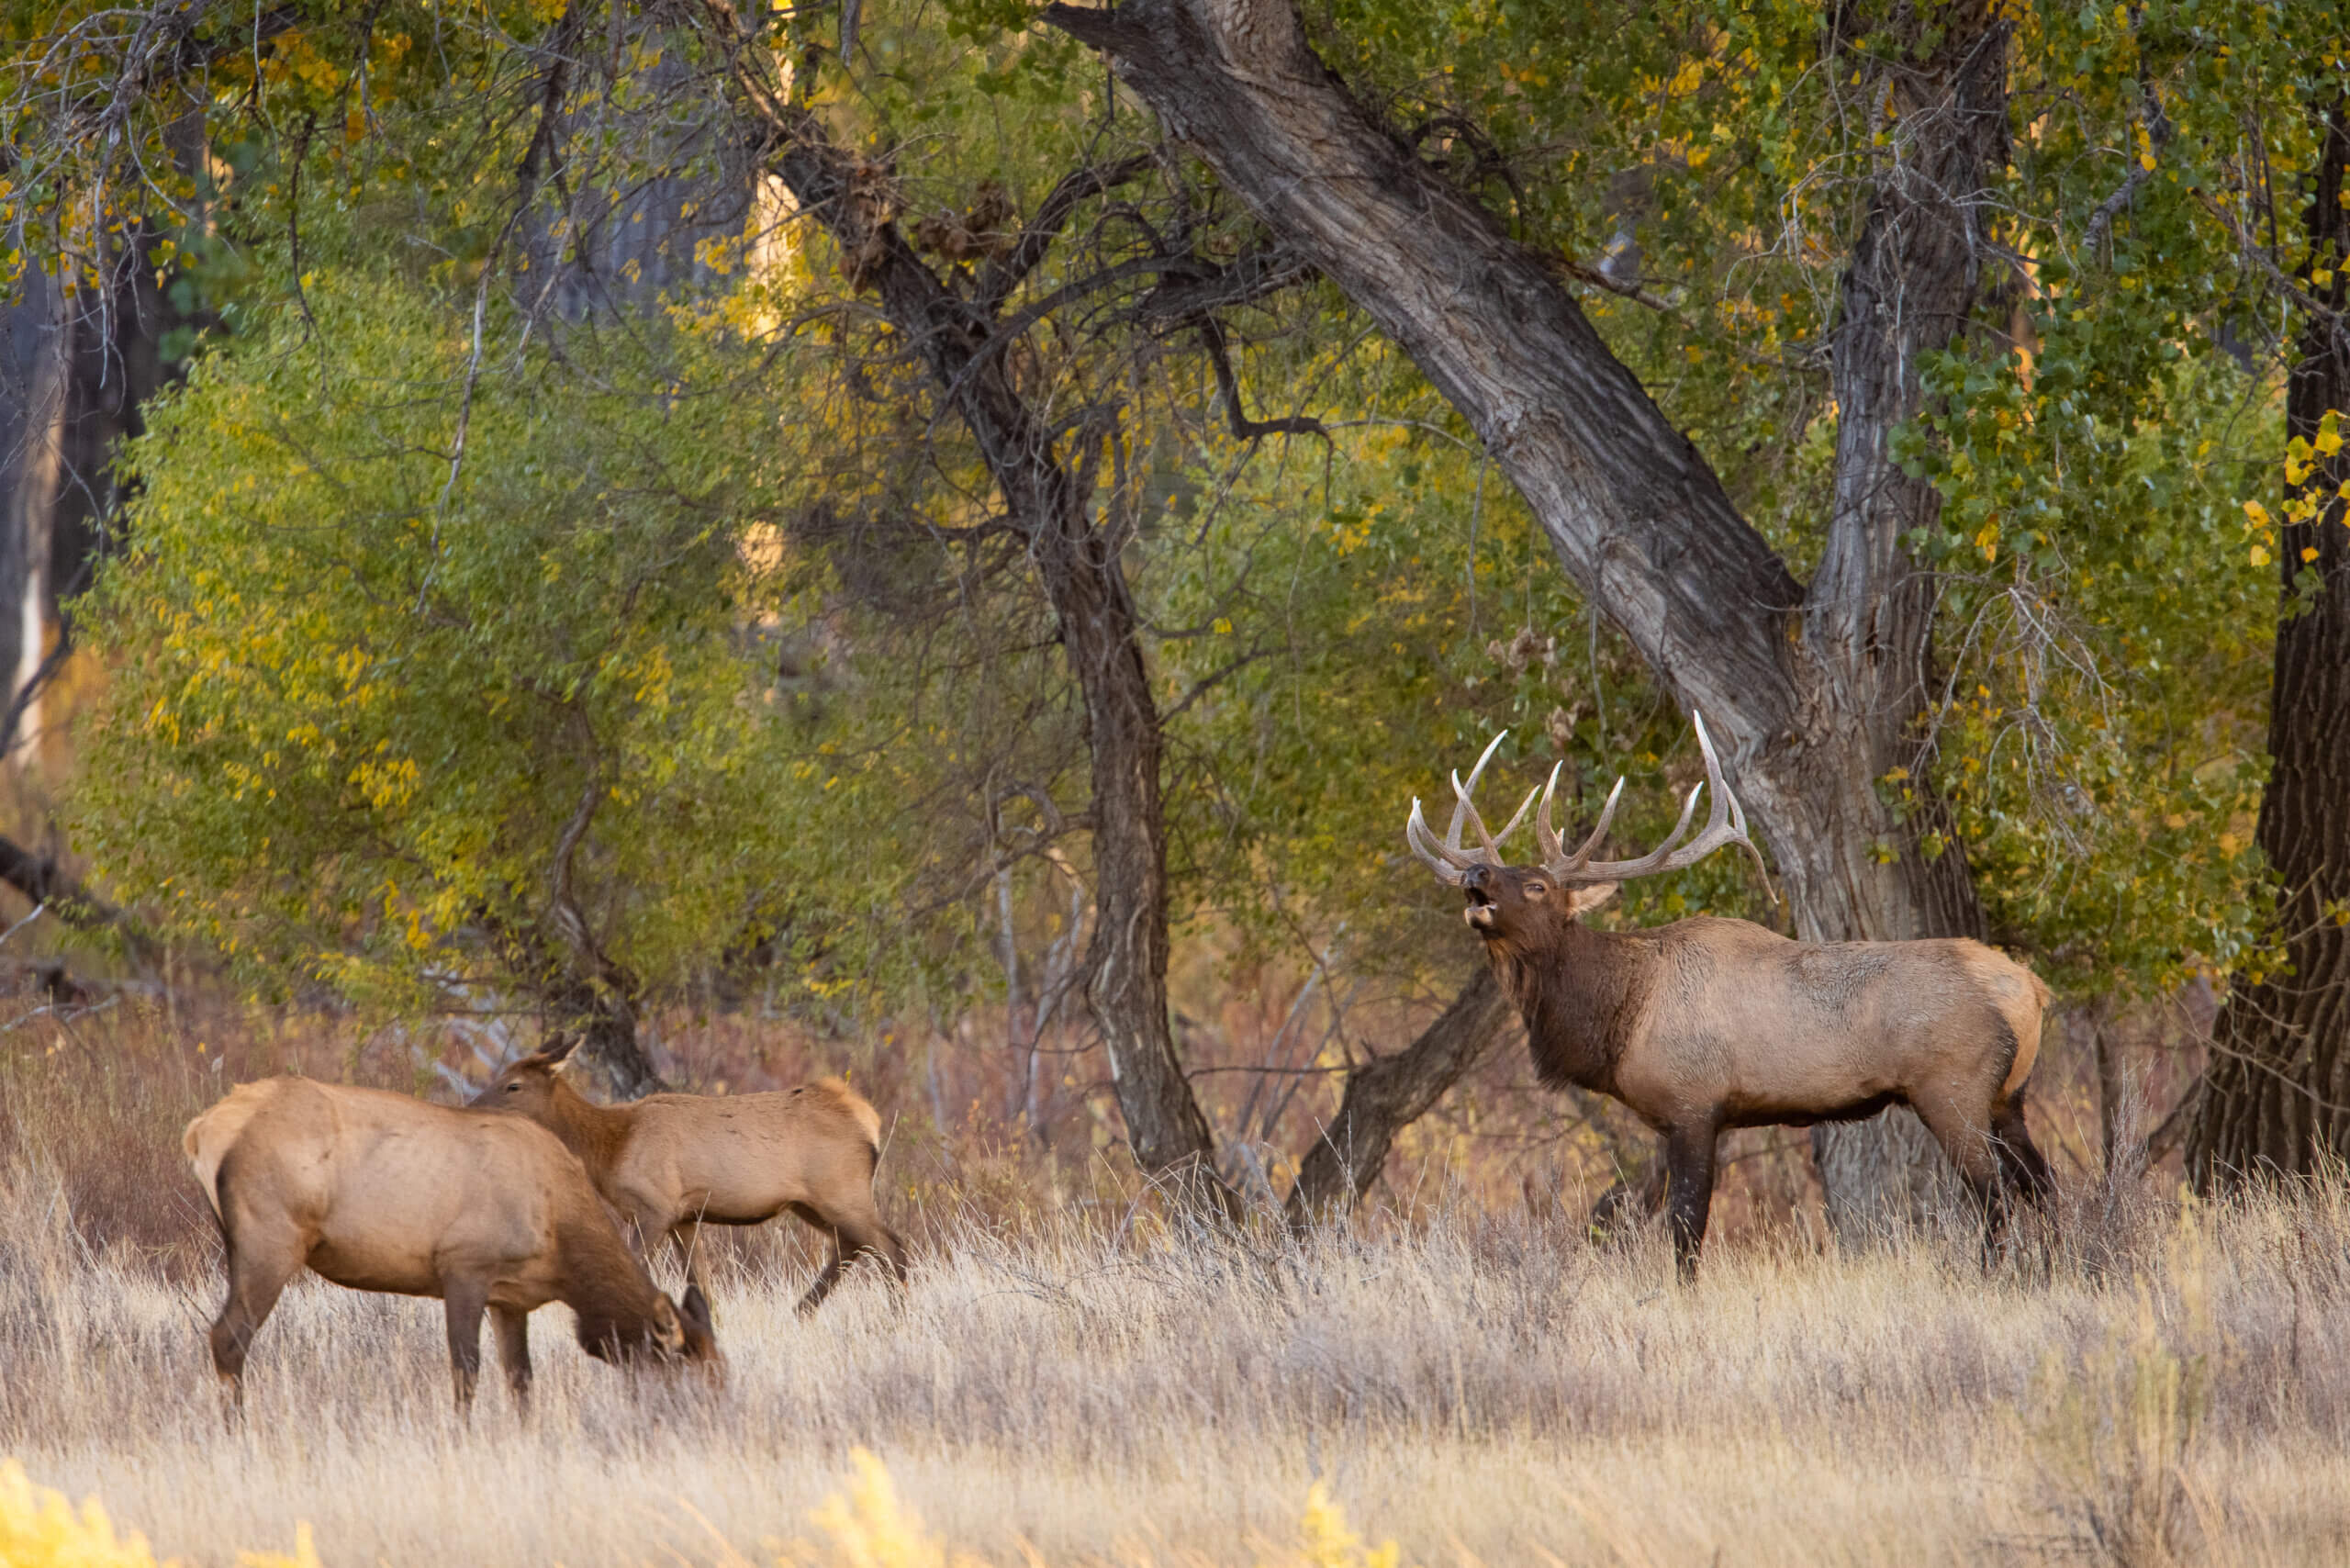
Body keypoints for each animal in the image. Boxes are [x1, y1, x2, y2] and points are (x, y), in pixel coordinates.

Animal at [184, 1076, 719, 1414]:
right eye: (693, 1381)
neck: (561, 1237)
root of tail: (201, 1129)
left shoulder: (511, 1296)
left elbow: (520, 1379)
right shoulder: (464, 1267)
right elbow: (466, 1371)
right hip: (271, 1239)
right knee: (228, 1337)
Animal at [470, 1036, 907, 1313]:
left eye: (513, 1085)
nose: (473, 1107)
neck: (610, 1149)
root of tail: (869, 1121)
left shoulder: (655, 1207)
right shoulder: (685, 1217)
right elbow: (702, 1288)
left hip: (840, 1190)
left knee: (890, 1245)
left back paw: (895, 1316)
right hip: (810, 1202)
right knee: (851, 1246)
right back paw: (800, 1311)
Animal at [1406, 714, 2054, 1280]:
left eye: (1538, 885)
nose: (1475, 876)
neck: (1619, 1018)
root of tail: (2033, 990)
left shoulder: (1694, 1104)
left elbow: (1686, 1231)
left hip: (1952, 1089)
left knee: (1997, 1197)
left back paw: (1990, 1280)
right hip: (2008, 1096)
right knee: (2044, 1188)